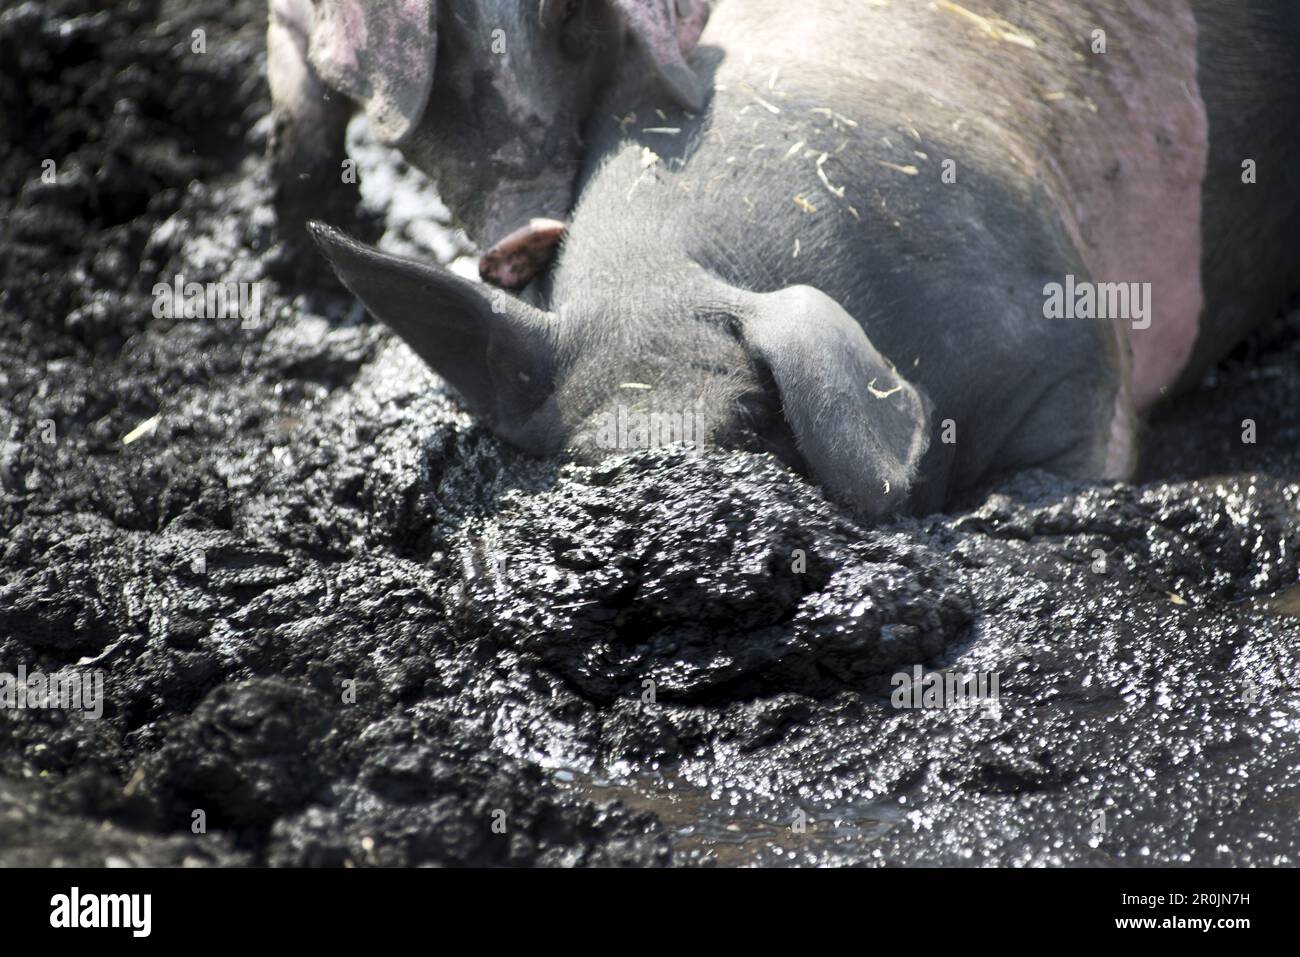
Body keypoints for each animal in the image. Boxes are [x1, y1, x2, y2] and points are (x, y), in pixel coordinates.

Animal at [267, 0, 711, 288]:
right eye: (441, 36)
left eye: (569, 10)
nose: (532, 232)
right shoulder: (287, 18)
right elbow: (307, 140)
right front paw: (299, 272)